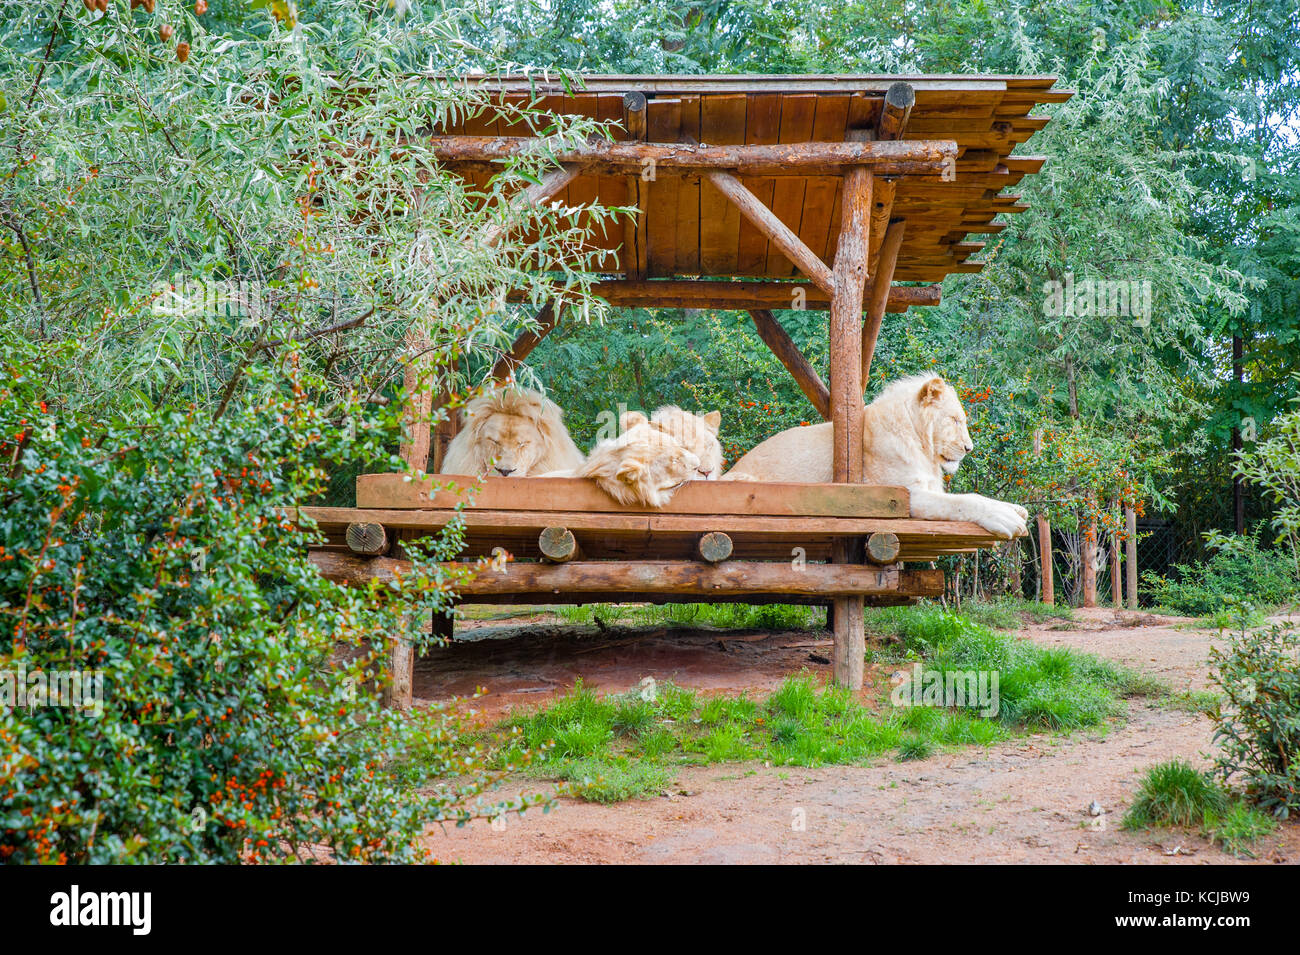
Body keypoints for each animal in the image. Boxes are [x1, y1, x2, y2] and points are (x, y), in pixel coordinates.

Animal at [724, 374, 1029, 539]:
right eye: (954, 420)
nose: (969, 448)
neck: (921, 445)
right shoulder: (898, 495)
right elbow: (963, 501)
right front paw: (1006, 518)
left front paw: (1017, 509)